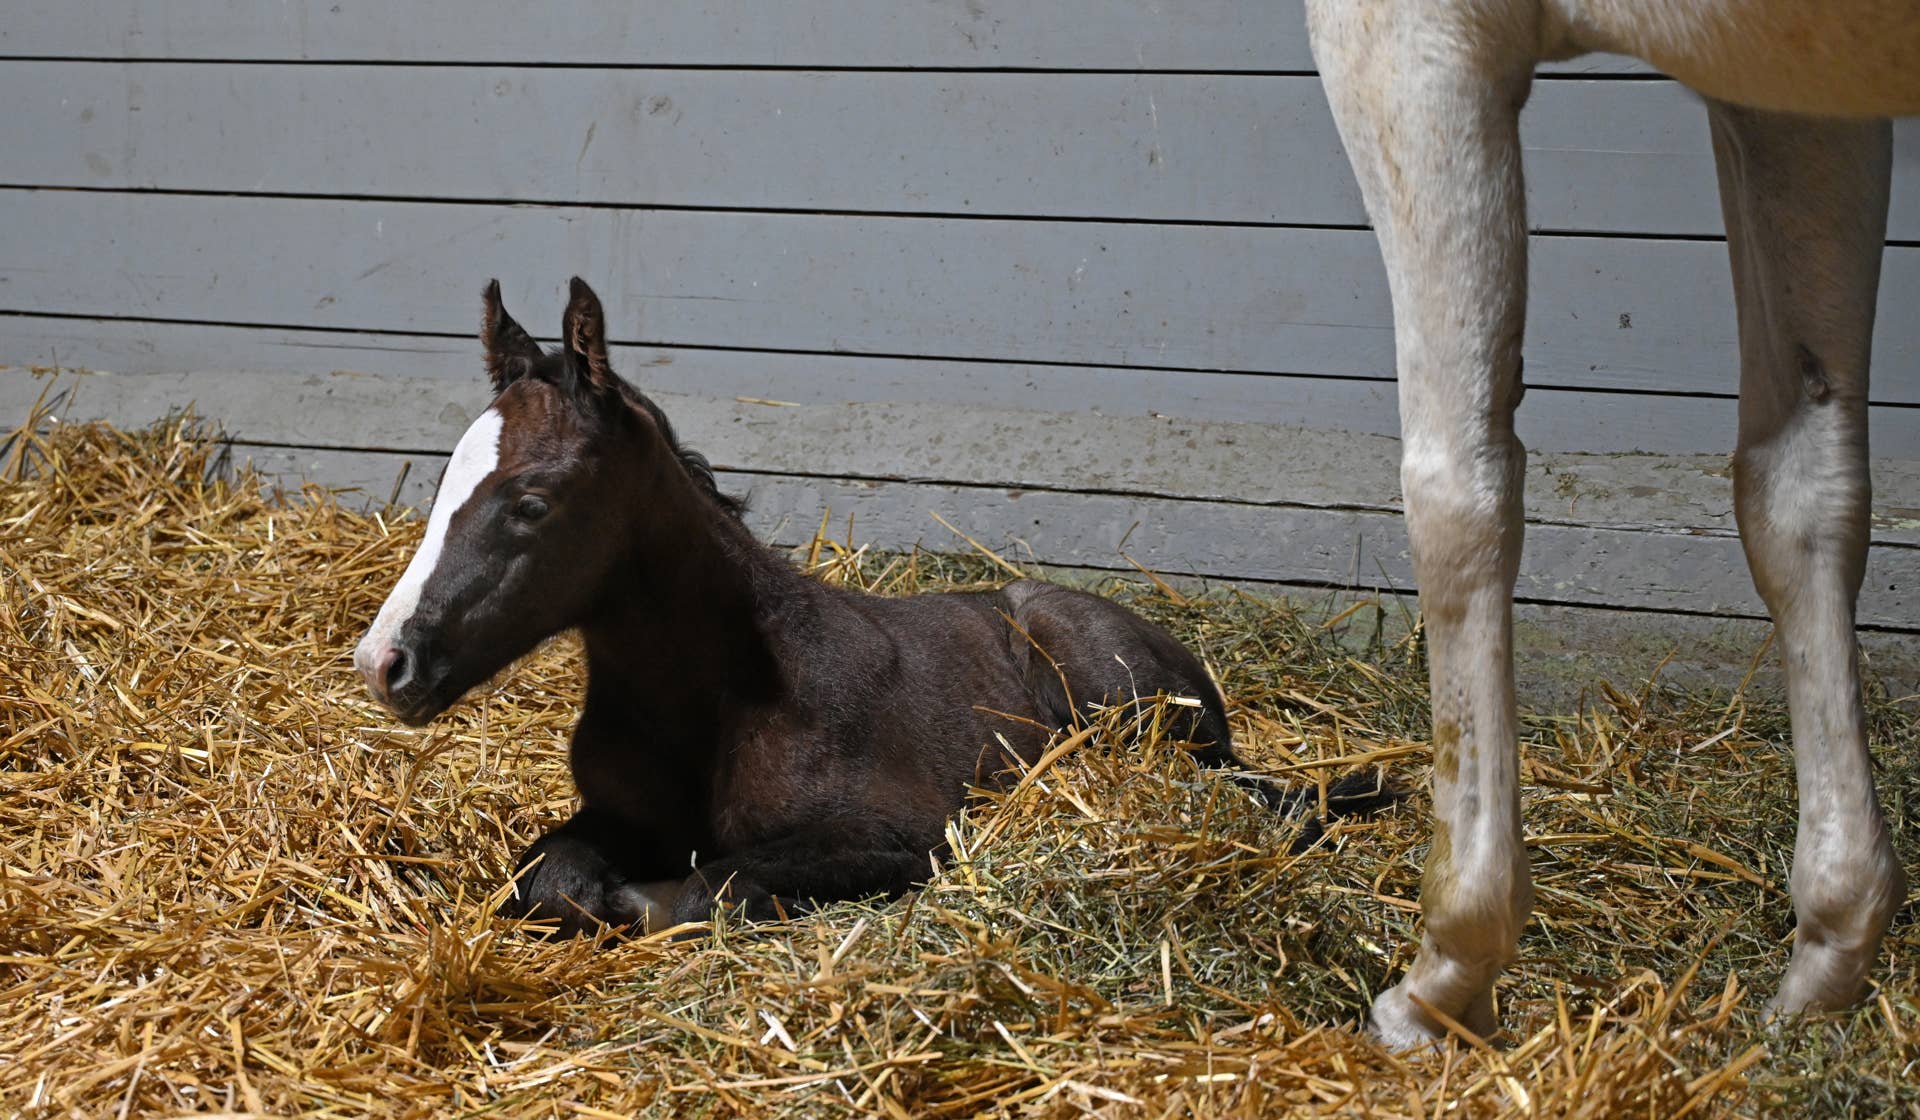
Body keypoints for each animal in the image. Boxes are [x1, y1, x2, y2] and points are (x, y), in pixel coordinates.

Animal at [353, 277, 1381, 936]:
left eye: (532, 503)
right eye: (443, 482)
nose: (384, 662)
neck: (723, 696)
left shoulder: (903, 838)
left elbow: (698, 891)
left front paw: (646, 900)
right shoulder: (613, 814)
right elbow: (549, 877)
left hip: (1142, 714)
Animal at [1305, 0, 1918, 1045]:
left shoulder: (1411, 39)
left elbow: (1459, 487)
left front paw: (1446, 970)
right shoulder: (1794, 93)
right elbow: (1800, 488)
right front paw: (1829, 950)